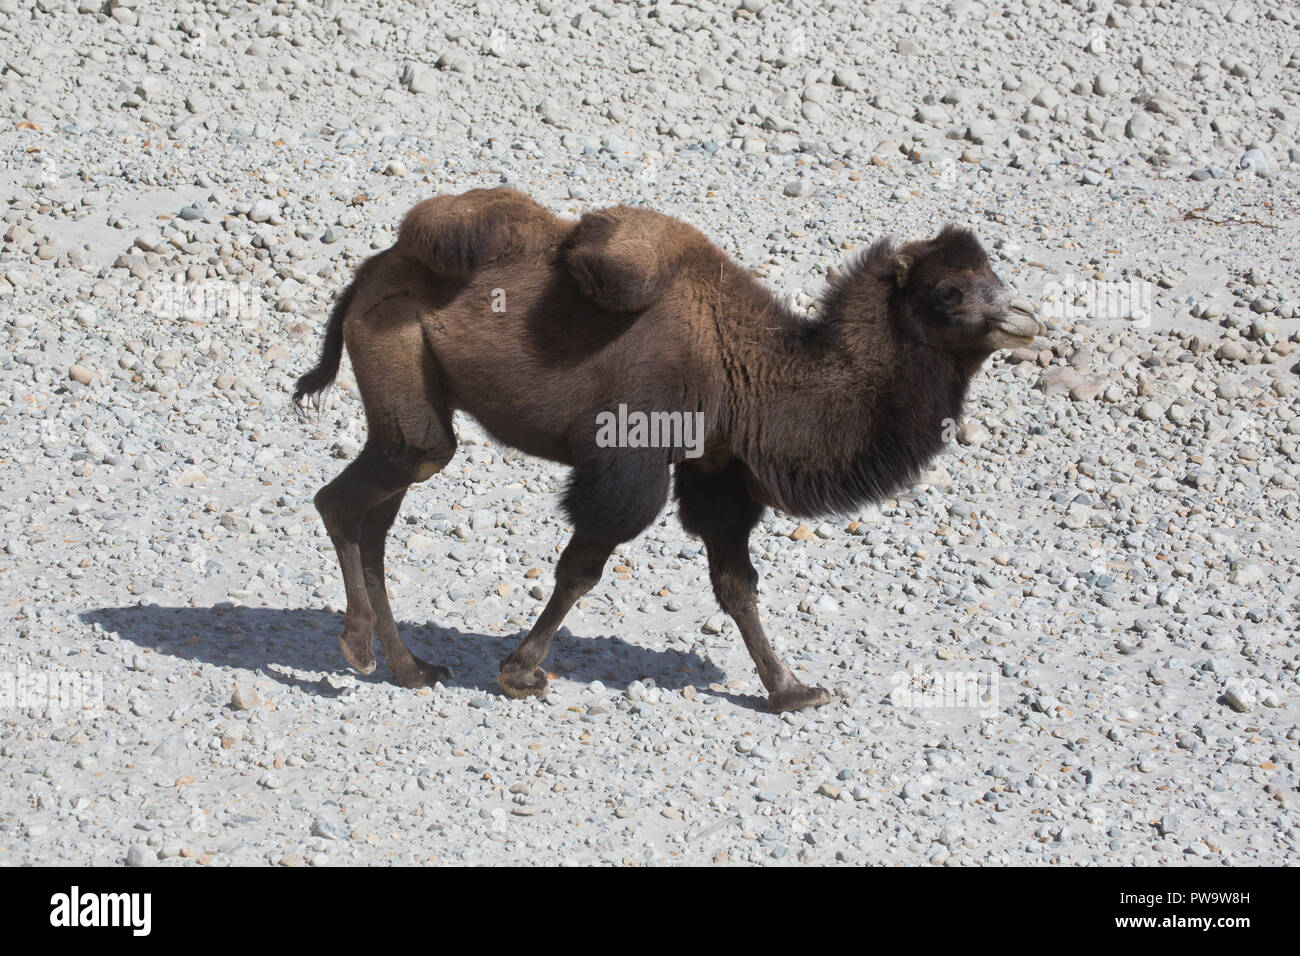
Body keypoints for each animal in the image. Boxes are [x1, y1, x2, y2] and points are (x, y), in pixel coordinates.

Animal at [293, 187, 1042, 712]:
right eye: (949, 291)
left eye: (995, 276)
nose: (1026, 319)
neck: (746, 368)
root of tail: (369, 273)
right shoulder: (634, 461)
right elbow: (581, 570)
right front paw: (521, 672)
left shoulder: (716, 470)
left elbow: (736, 584)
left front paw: (792, 690)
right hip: (401, 372)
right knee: (351, 495)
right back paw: (359, 649)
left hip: (411, 399)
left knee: (379, 513)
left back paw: (410, 667)